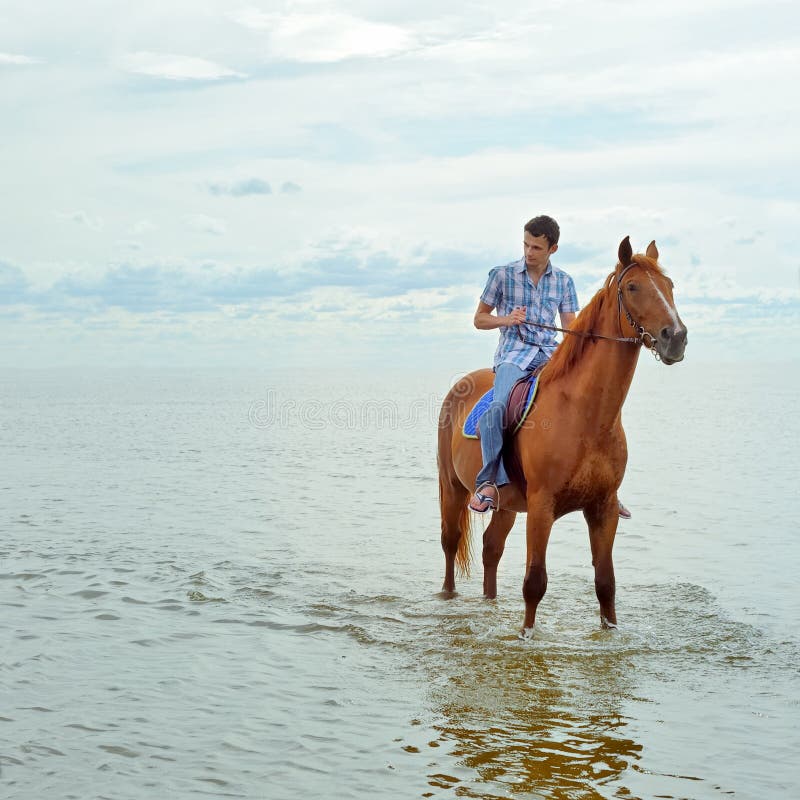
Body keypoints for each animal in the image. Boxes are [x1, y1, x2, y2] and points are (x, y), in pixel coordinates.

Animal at [437, 237, 687, 636]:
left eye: (670, 287)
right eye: (633, 287)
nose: (675, 338)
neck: (586, 415)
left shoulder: (603, 508)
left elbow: (606, 583)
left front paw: (610, 632)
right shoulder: (542, 507)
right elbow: (534, 582)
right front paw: (526, 636)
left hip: (506, 505)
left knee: (492, 549)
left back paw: (490, 602)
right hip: (453, 487)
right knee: (450, 543)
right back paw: (448, 597)